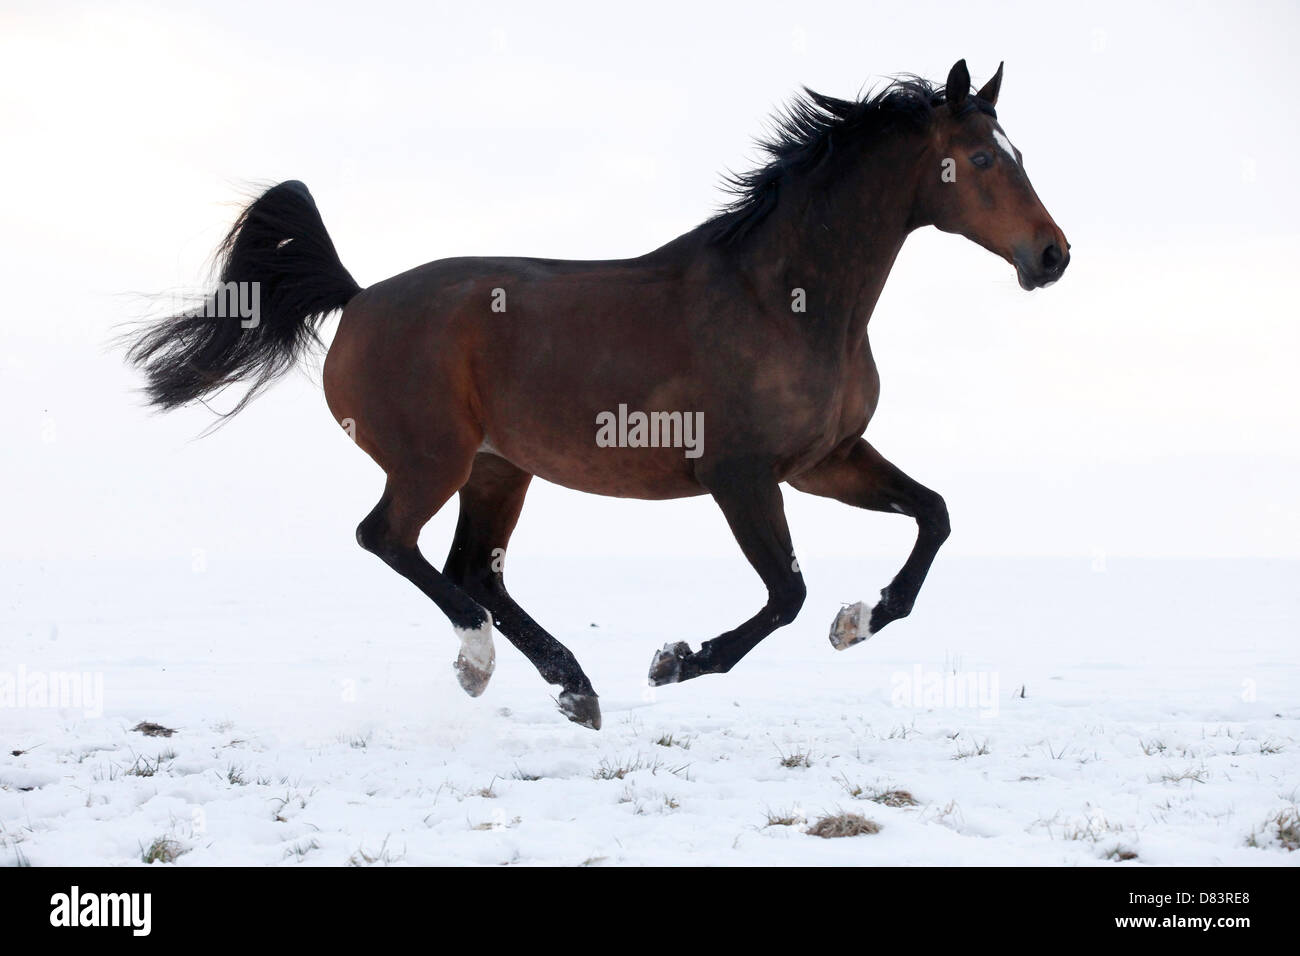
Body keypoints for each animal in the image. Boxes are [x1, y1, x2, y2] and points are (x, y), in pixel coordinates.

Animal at [126, 60, 1069, 731]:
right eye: (983, 158)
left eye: (1017, 154)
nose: (1052, 255)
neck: (786, 298)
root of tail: (357, 298)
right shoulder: (742, 476)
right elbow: (786, 595)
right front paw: (674, 660)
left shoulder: (824, 461)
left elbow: (934, 516)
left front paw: (857, 621)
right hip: (433, 460)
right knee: (390, 540)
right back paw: (481, 663)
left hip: (499, 469)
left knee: (472, 568)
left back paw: (572, 689)